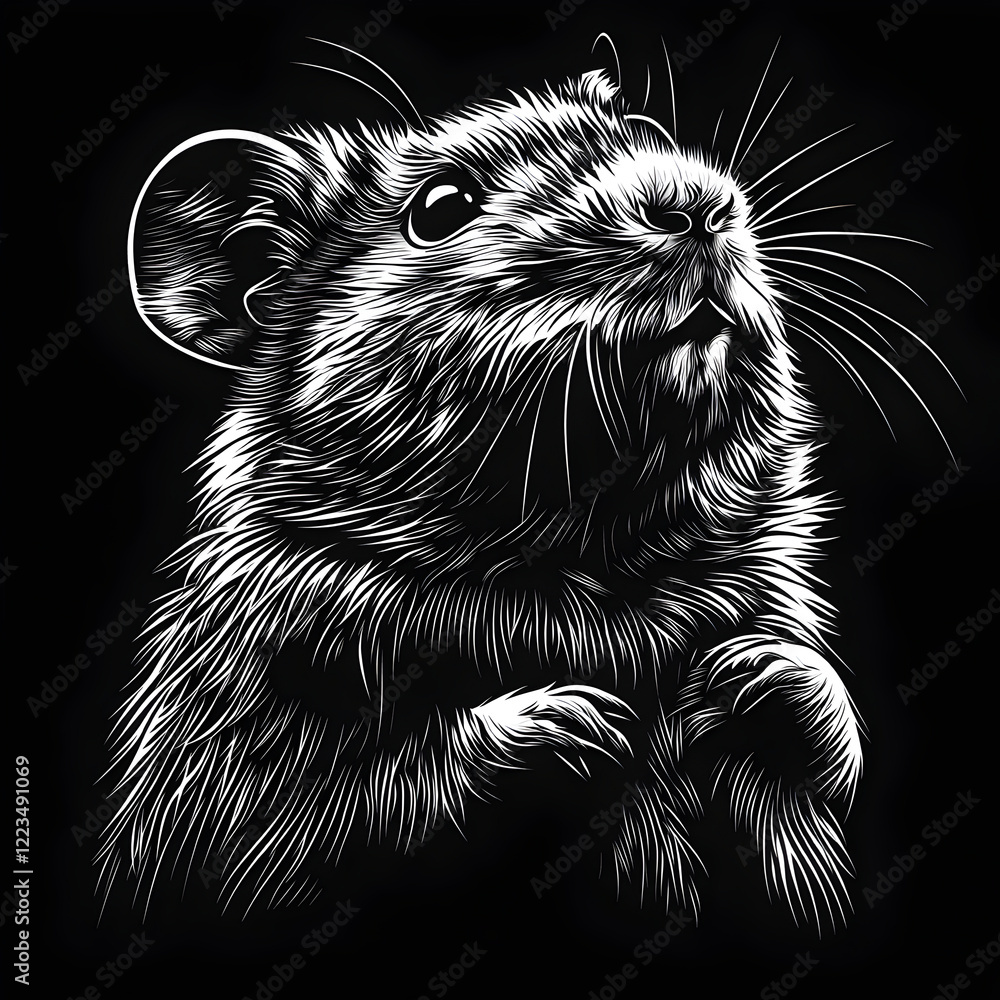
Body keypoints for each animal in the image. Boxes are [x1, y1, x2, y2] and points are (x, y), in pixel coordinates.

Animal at [97, 63, 862, 927]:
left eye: (647, 132)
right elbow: (326, 820)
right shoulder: (236, 754)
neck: (593, 565)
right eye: (441, 208)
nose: (697, 204)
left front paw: (757, 676)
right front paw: (576, 726)